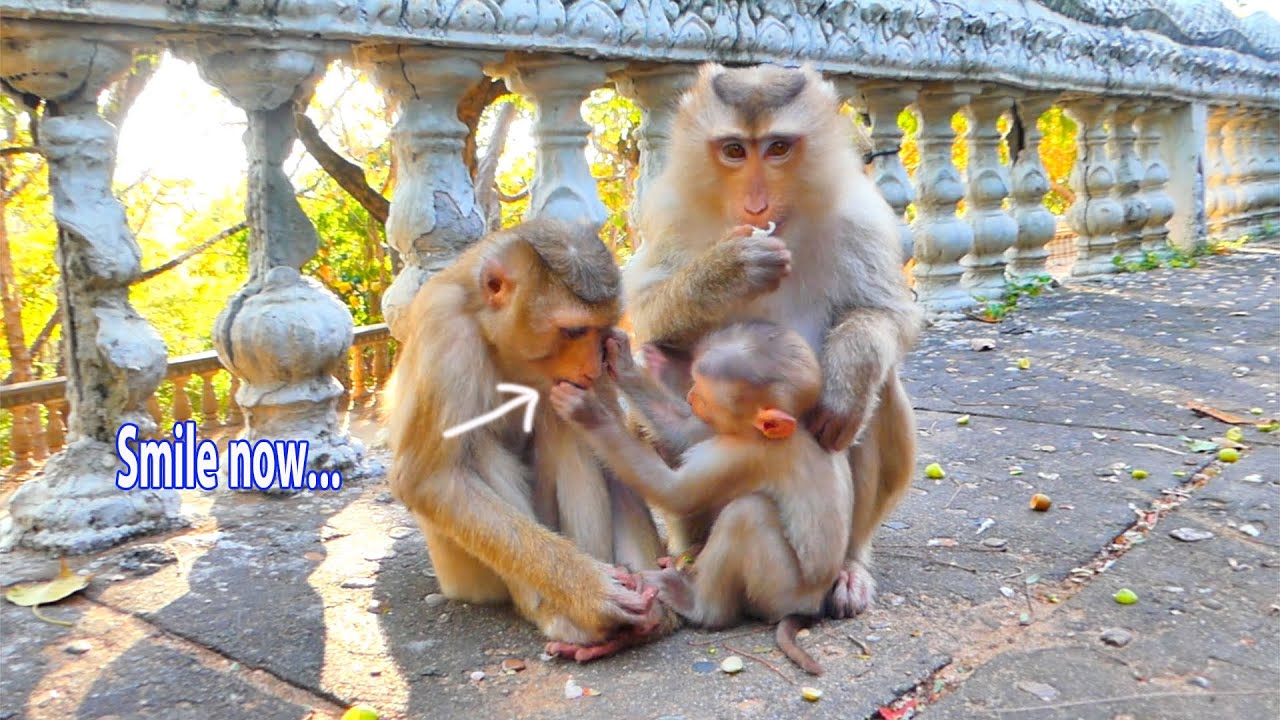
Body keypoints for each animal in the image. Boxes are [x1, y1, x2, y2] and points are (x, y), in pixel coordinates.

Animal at [382, 217, 672, 660]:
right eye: (573, 331)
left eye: (600, 331)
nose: (590, 367)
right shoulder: (445, 328)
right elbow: (429, 479)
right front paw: (594, 594)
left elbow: (616, 461)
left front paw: (656, 598)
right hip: (464, 575)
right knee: (479, 447)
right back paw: (559, 615)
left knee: (566, 426)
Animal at [551, 321, 852, 675]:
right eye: (695, 387)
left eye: (706, 397)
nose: (692, 396)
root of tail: (813, 605)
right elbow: (684, 432)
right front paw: (622, 361)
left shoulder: (746, 452)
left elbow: (676, 492)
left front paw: (589, 414)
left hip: (782, 592)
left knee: (747, 515)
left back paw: (699, 605)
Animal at [623, 62, 923, 618]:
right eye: (734, 150)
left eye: (778, 148)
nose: (756, 203)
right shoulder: (671, 216)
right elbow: (648, 317)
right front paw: (727, 270)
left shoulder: (862, 218)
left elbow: (886, 314)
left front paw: (849, 376)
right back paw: (690, 553)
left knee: (876, 392)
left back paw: (850, 566)